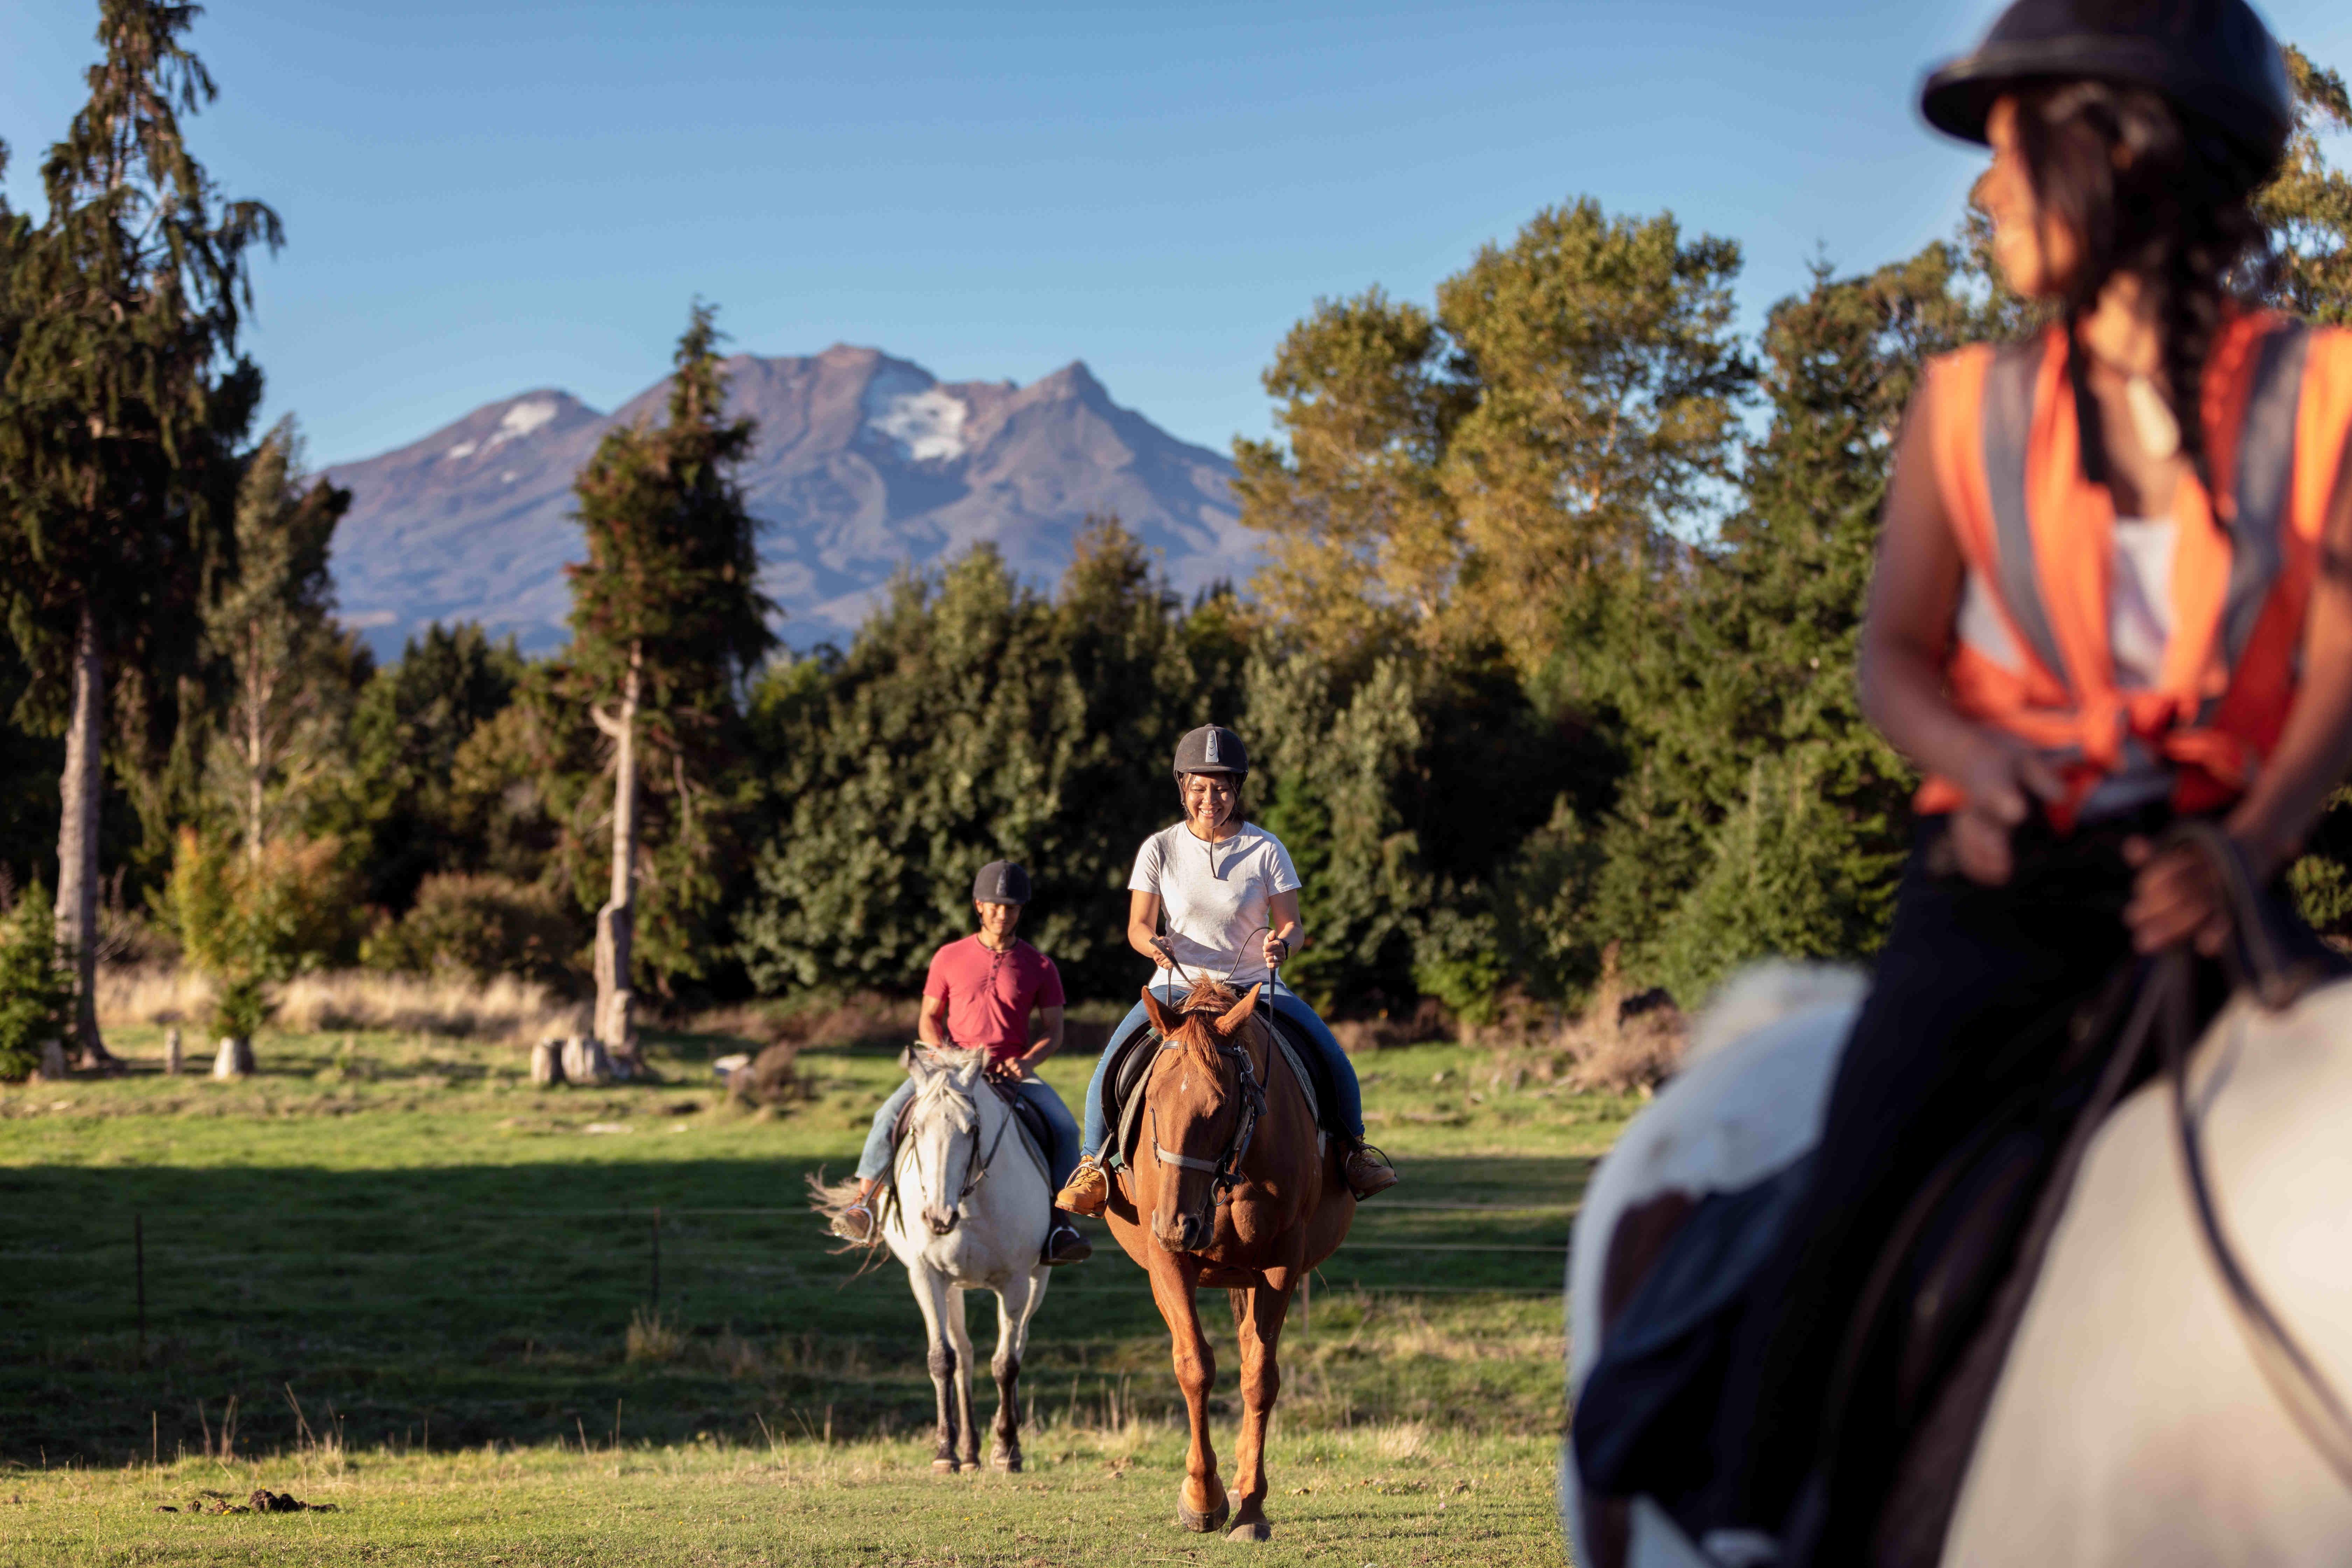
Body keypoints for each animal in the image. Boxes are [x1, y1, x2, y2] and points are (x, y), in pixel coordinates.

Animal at [817, 1047, 1053, 1474]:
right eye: (915, 1129)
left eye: (973, 1128)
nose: (937, 1218)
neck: (967, 1203)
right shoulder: (927, 1277)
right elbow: (942, 1359)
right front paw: (946, 1452)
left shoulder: (1014, 1281)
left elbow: (1006, 1363)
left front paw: (1007, 1449)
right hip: (954, 1286)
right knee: (965, 1354)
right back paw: (972, 1451)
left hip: (1036, 1280)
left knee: (1018, 1345)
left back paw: (1003, 1443)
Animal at [1102, 976, 1354, 1543]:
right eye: (1153, 1099)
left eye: (1219, 1106)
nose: (1177, 1225)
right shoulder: (1168, 1263)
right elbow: (1195, 1366)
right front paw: (1202, 1500)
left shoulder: (1281, 1265)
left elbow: (1259, 1377)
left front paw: (1251, 1508)